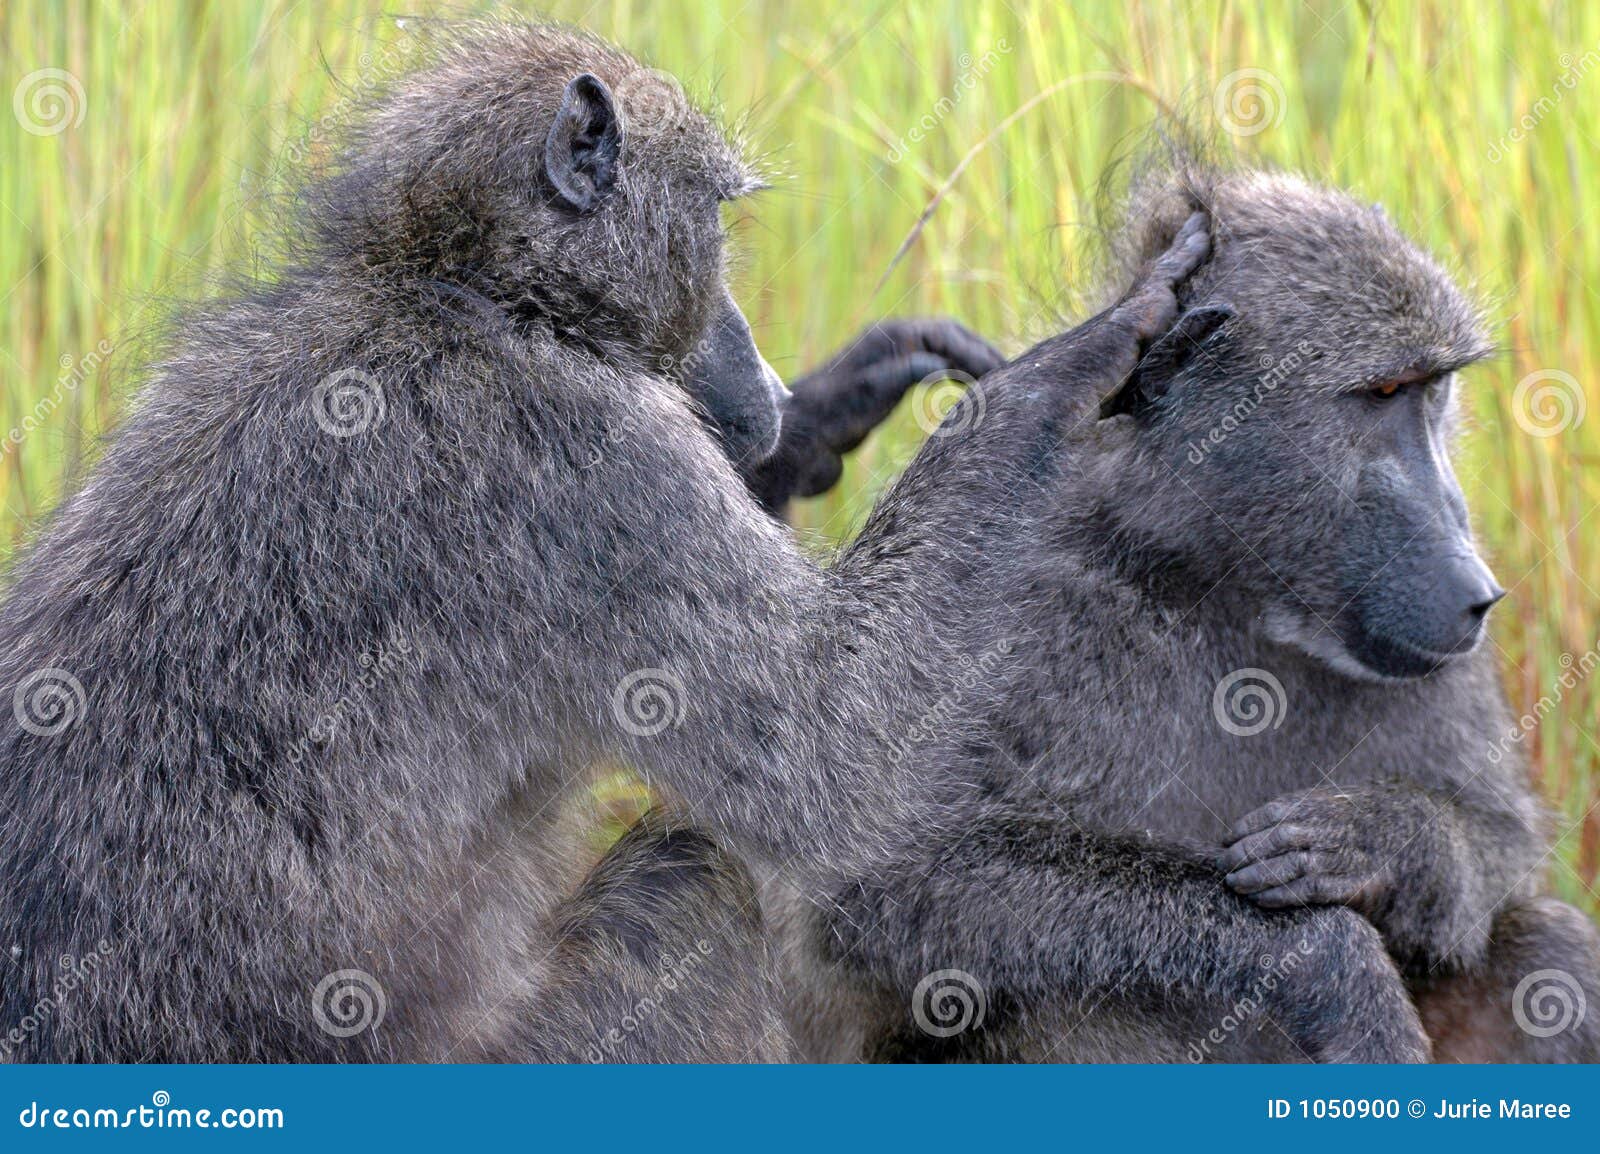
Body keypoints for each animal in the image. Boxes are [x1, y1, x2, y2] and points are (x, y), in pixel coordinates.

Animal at [0, 23, 1210, 1061]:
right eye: (714, 222)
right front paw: (1078, 358)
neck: (464, 292)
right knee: (725, 872)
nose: (762, 374)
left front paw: (827, 414)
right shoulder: (592, 469)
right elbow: (840, 753)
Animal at [769, 153, 1600, 1064]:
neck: (1218, 579)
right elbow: (878, 878)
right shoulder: (1005, 586)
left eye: (1434, 391)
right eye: (1382, 390)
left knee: (1550, 947)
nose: (1477, 590)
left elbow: (1501, 836)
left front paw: (1382, 835)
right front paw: (1329, 961)